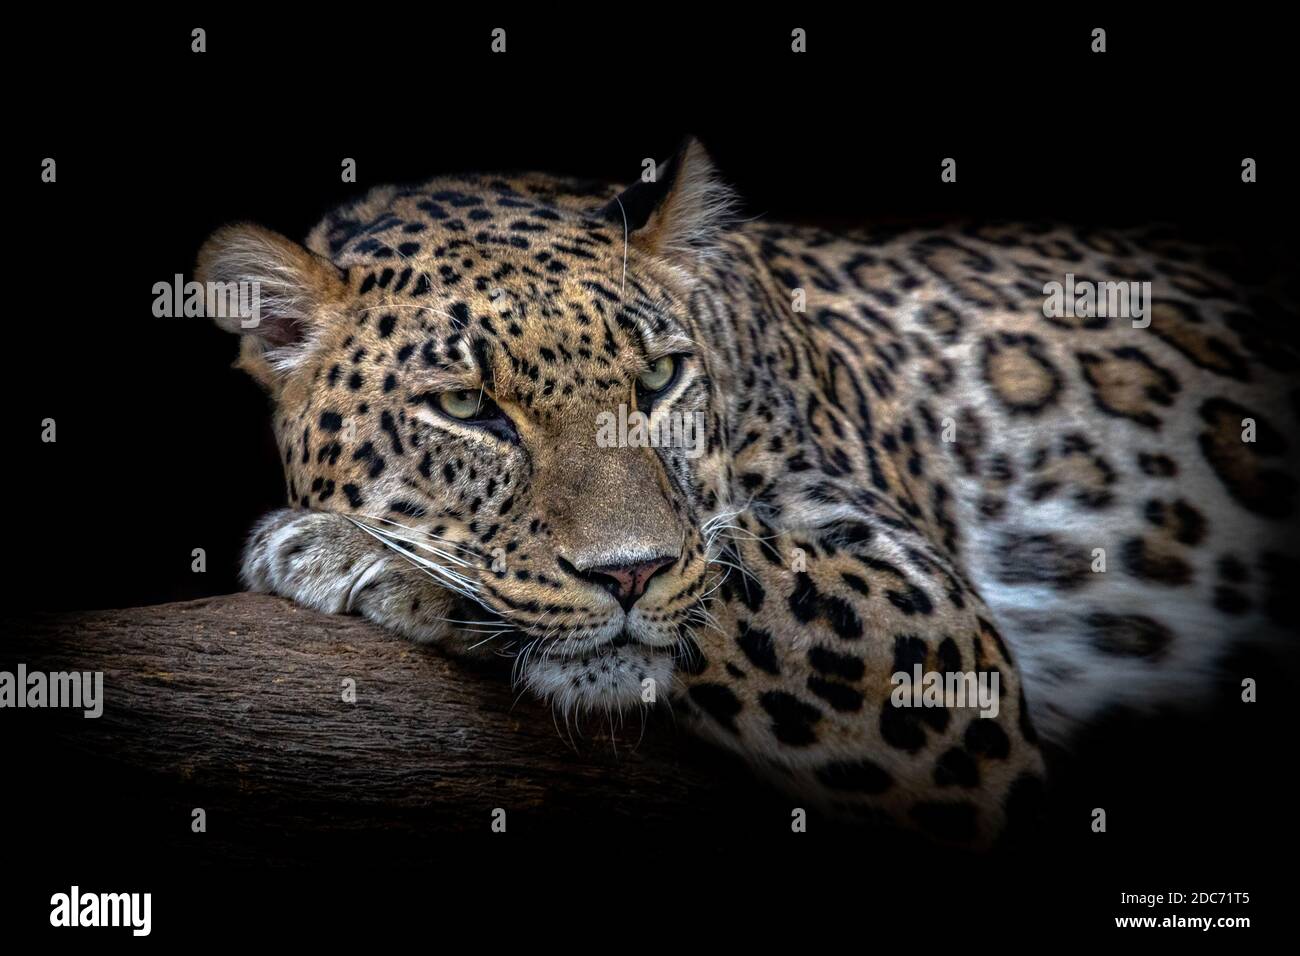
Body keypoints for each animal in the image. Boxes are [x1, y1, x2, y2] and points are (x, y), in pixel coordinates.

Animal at [197, 138, 1299, 846]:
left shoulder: (928, 626)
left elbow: (732, 569)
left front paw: (348, 551)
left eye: (657, 379)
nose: (629, 574)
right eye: (466, 405)